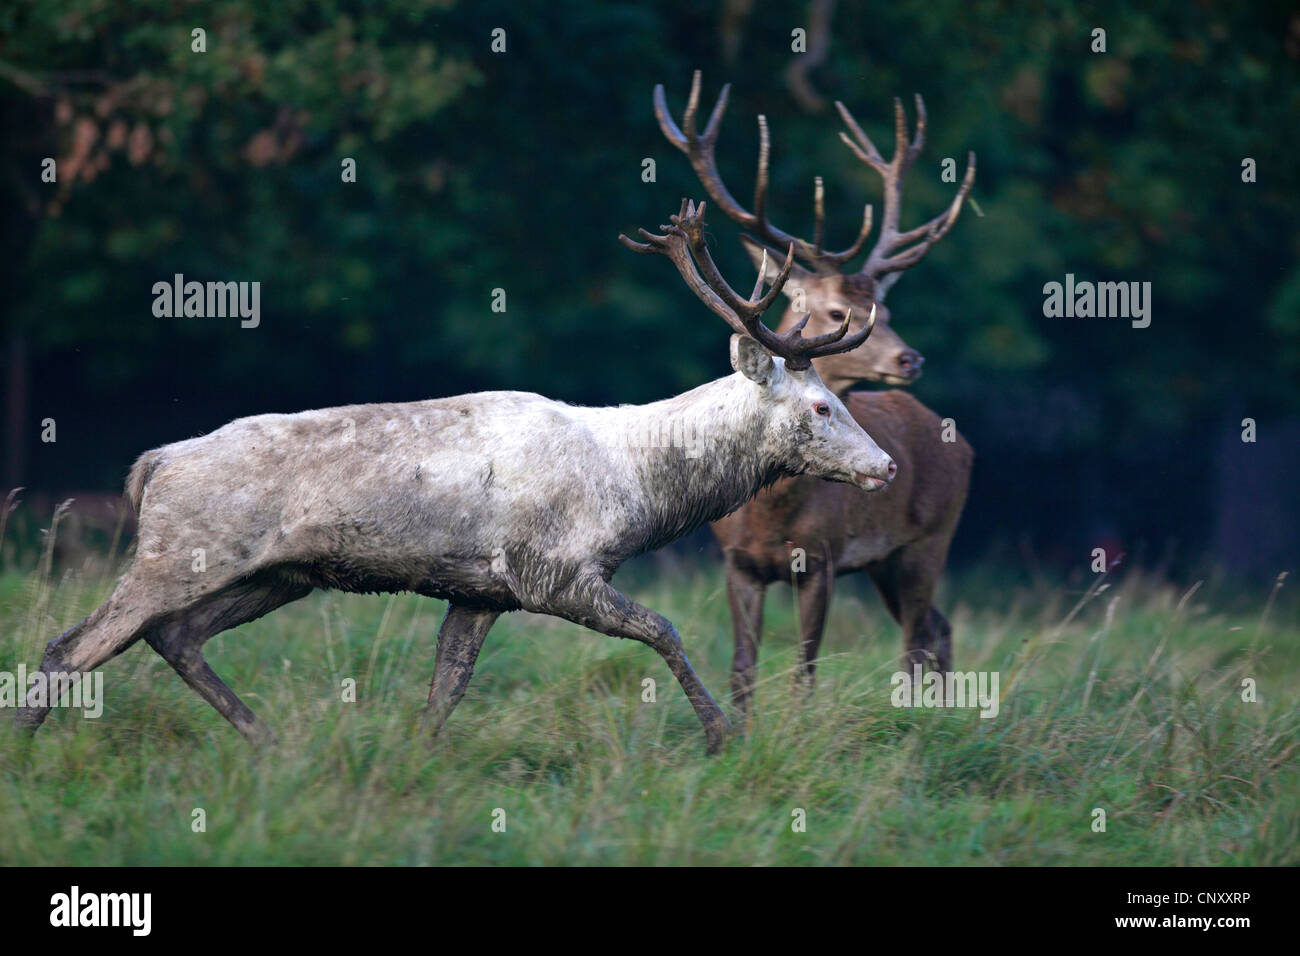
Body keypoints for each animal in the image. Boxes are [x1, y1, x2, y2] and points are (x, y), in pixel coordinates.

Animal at [14, 200, 895, 755]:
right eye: (819, 404)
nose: (884, 466)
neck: (639, 491)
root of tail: (151, 466)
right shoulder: (552, 571)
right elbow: (664, 630)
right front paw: (721, 735)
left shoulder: (481, 592)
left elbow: (446, 692)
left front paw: (420, 762)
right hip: (175, 553)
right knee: (74, 644)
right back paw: (25, 755)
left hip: (279, 573)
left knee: (175, 637)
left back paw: (267, 743)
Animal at [654, 73, 975, 712]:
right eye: (834, 310)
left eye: (882, 309)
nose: (911, 357)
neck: (770, 513)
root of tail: (964, 444)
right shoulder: (737, 564)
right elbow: (743, 669)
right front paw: (739, 729)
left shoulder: (822, 559)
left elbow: (805, 671)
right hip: (887, 560)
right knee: (939, 627)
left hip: (929, 540)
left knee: (917, 637)